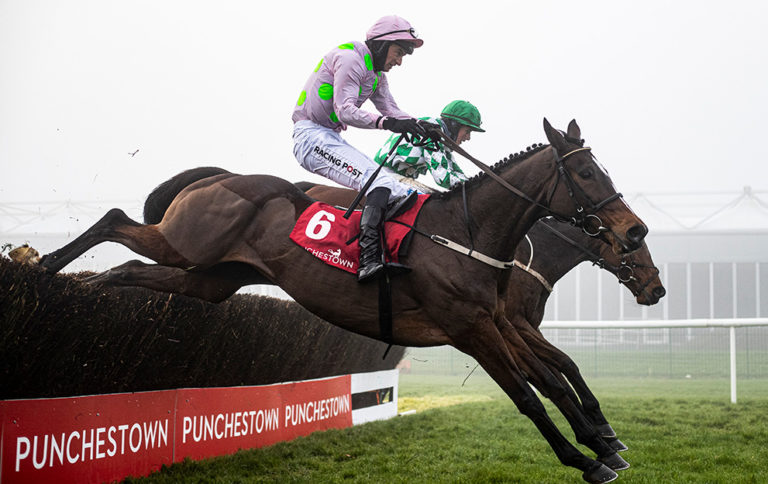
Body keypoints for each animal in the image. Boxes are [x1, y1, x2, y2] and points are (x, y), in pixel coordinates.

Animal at [39, 119, 647, 483]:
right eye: (587, 171)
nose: (635, 231)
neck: (468, 235)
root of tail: (220, 178)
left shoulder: (495, 321)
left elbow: (553, 379)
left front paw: (603, 444)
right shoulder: (470, 330)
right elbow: (529, 395)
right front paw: (587, 459)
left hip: (210, 279)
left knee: (127, 269)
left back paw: (80, 292)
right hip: (187, 243)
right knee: (115, 222)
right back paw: (43, 266)